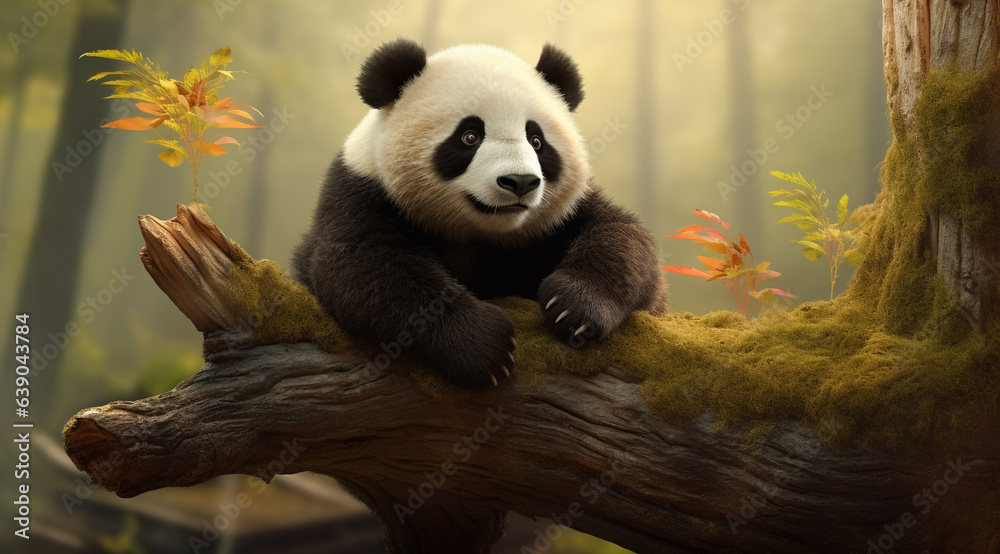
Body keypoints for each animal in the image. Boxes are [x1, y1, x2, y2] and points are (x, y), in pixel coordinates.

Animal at [293, 38, 667, 388]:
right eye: (470, 136)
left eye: (536, 141)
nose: (520, 182)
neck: (480, 232)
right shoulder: (362, 192)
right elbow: (364, 267)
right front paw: (482, 347)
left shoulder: (564, 214)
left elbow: (624, 239)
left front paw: (572, 307)